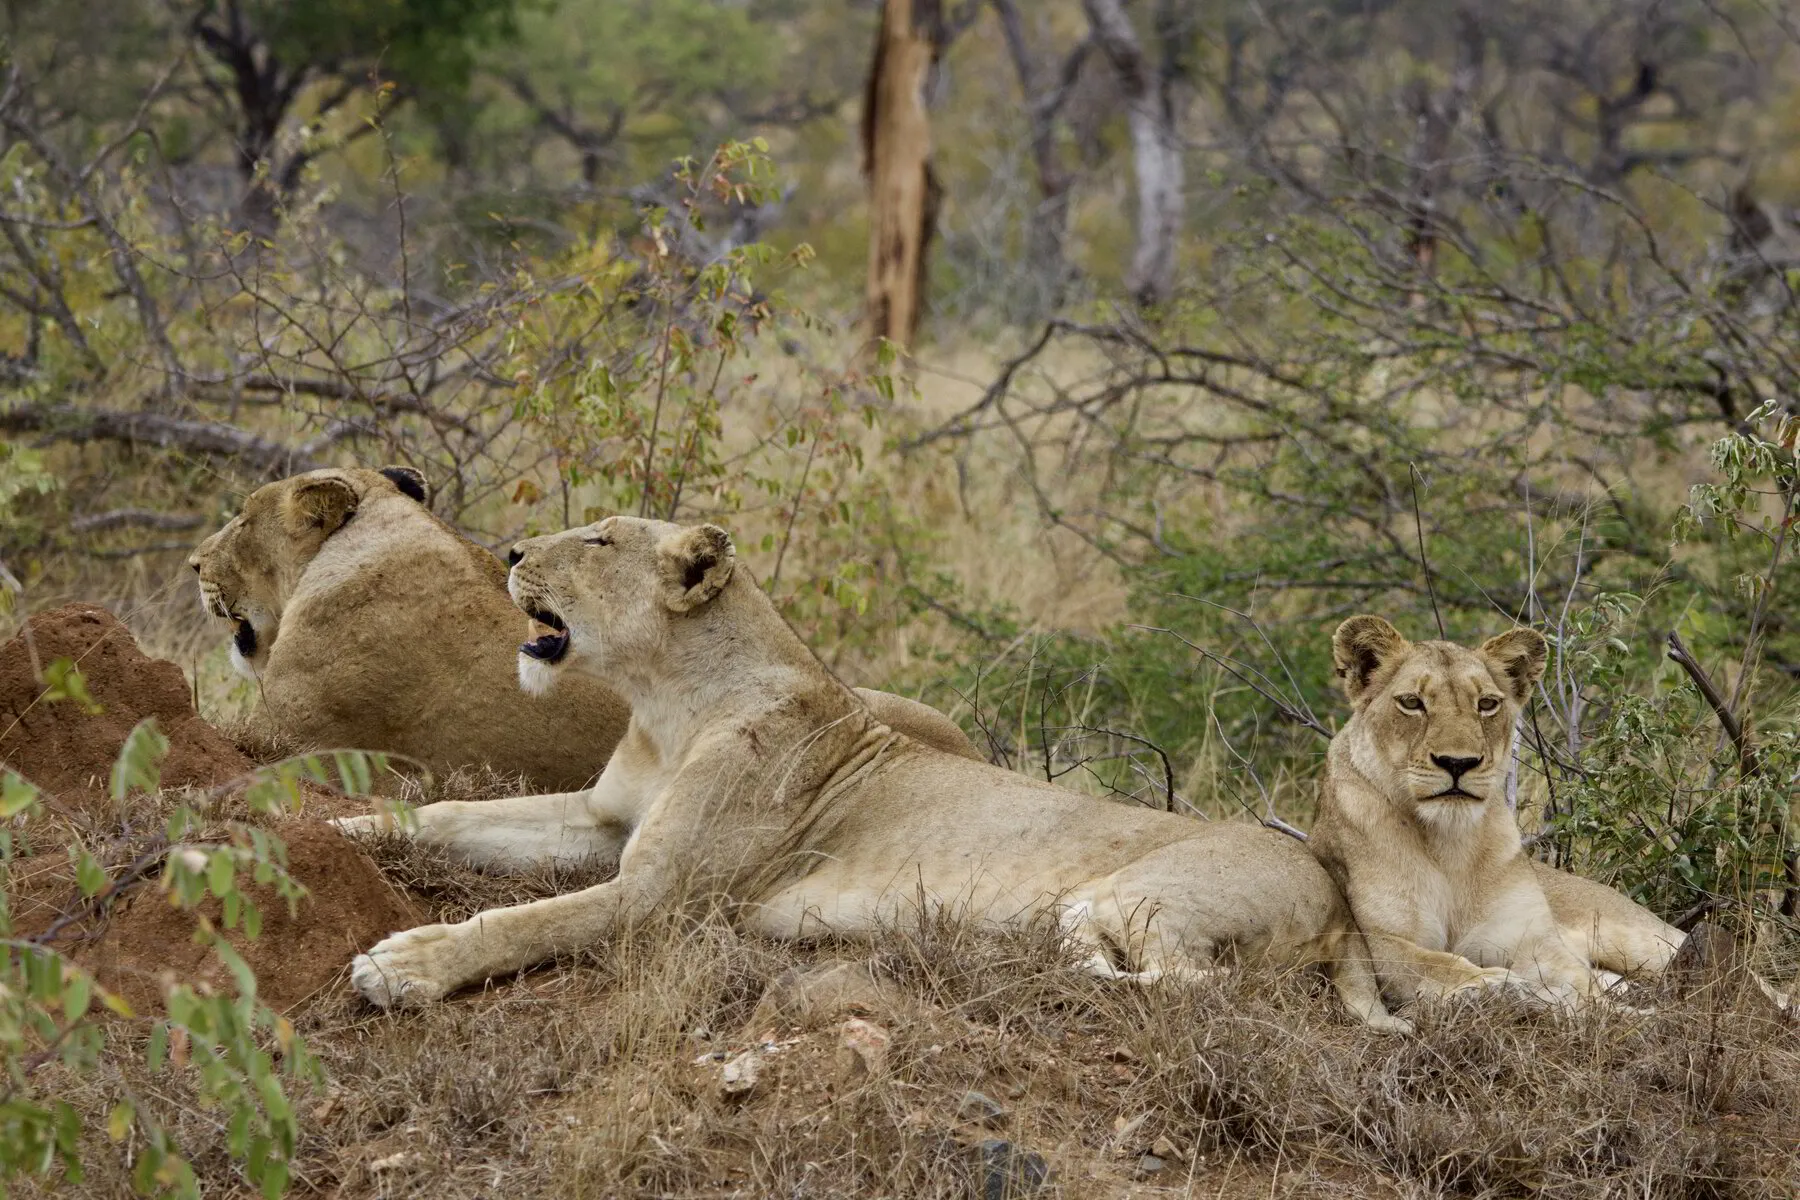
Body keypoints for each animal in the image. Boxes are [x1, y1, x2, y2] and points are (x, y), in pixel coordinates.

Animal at [339, 516, 1412, 1033]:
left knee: (1197, 989)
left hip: (1141, 897)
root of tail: (1337, 890)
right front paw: (351, 827)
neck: (664, 701)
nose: (512, 548)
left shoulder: (664, 896)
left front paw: (405, 965)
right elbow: (454, 812)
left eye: (599, 539)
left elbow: (524, 921)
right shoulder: (603, 823)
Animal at [1309, 614, 1792, 1013]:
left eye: (1487, 704)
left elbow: (1576, 980)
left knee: (1763, 983)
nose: (1458, 763)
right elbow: (1443, 966)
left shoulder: (1528, 936)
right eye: (1411, 702)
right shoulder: (1383, 943)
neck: (1450, 844)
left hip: (1643, 939)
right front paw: (1502, 986)